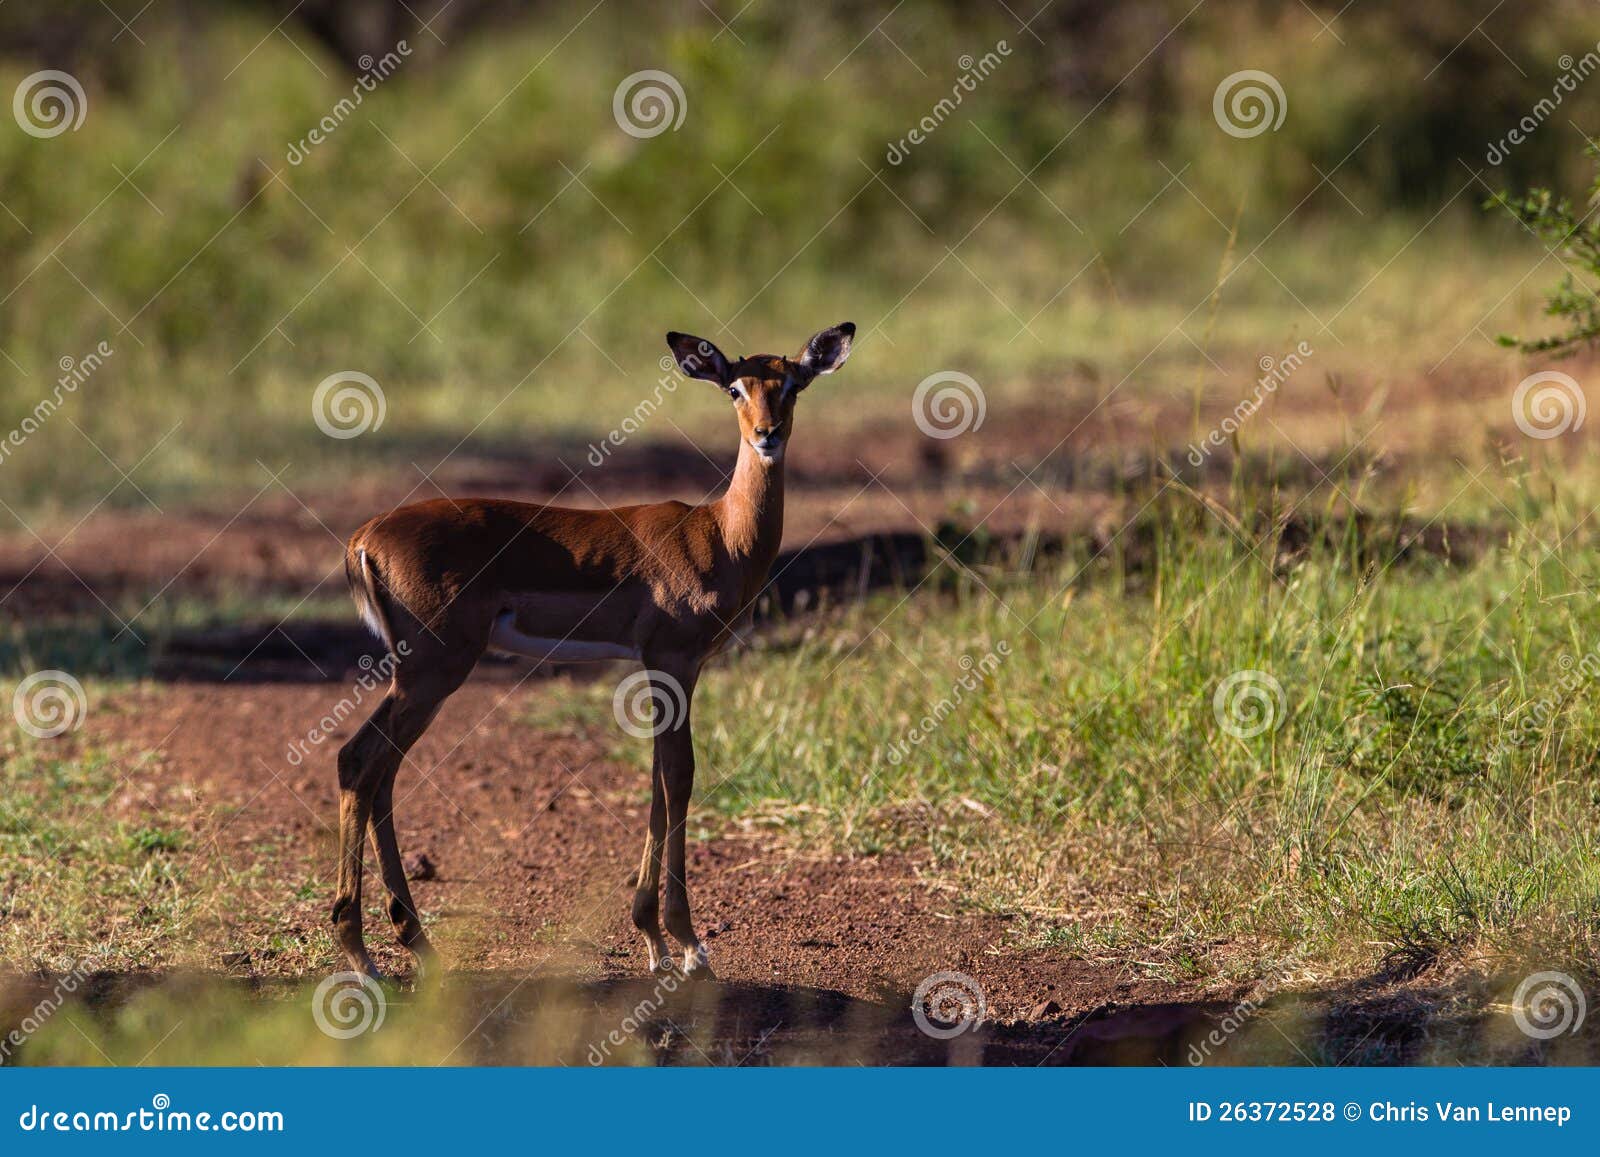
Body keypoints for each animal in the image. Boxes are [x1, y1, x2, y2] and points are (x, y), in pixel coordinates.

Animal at [331, 322, 856, 980]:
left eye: (792, 385)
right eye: (735, 387)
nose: (768, 435)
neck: (719, 534)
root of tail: (363, 537)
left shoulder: (665, 670)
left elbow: (659, 775)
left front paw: (654, 940)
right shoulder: (674, 660)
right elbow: (679, 775)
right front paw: (689, 946)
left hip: (421, 675)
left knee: (379, 772)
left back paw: (413, 941)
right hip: (433, 669)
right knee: (359, 760)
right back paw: (360, 952)